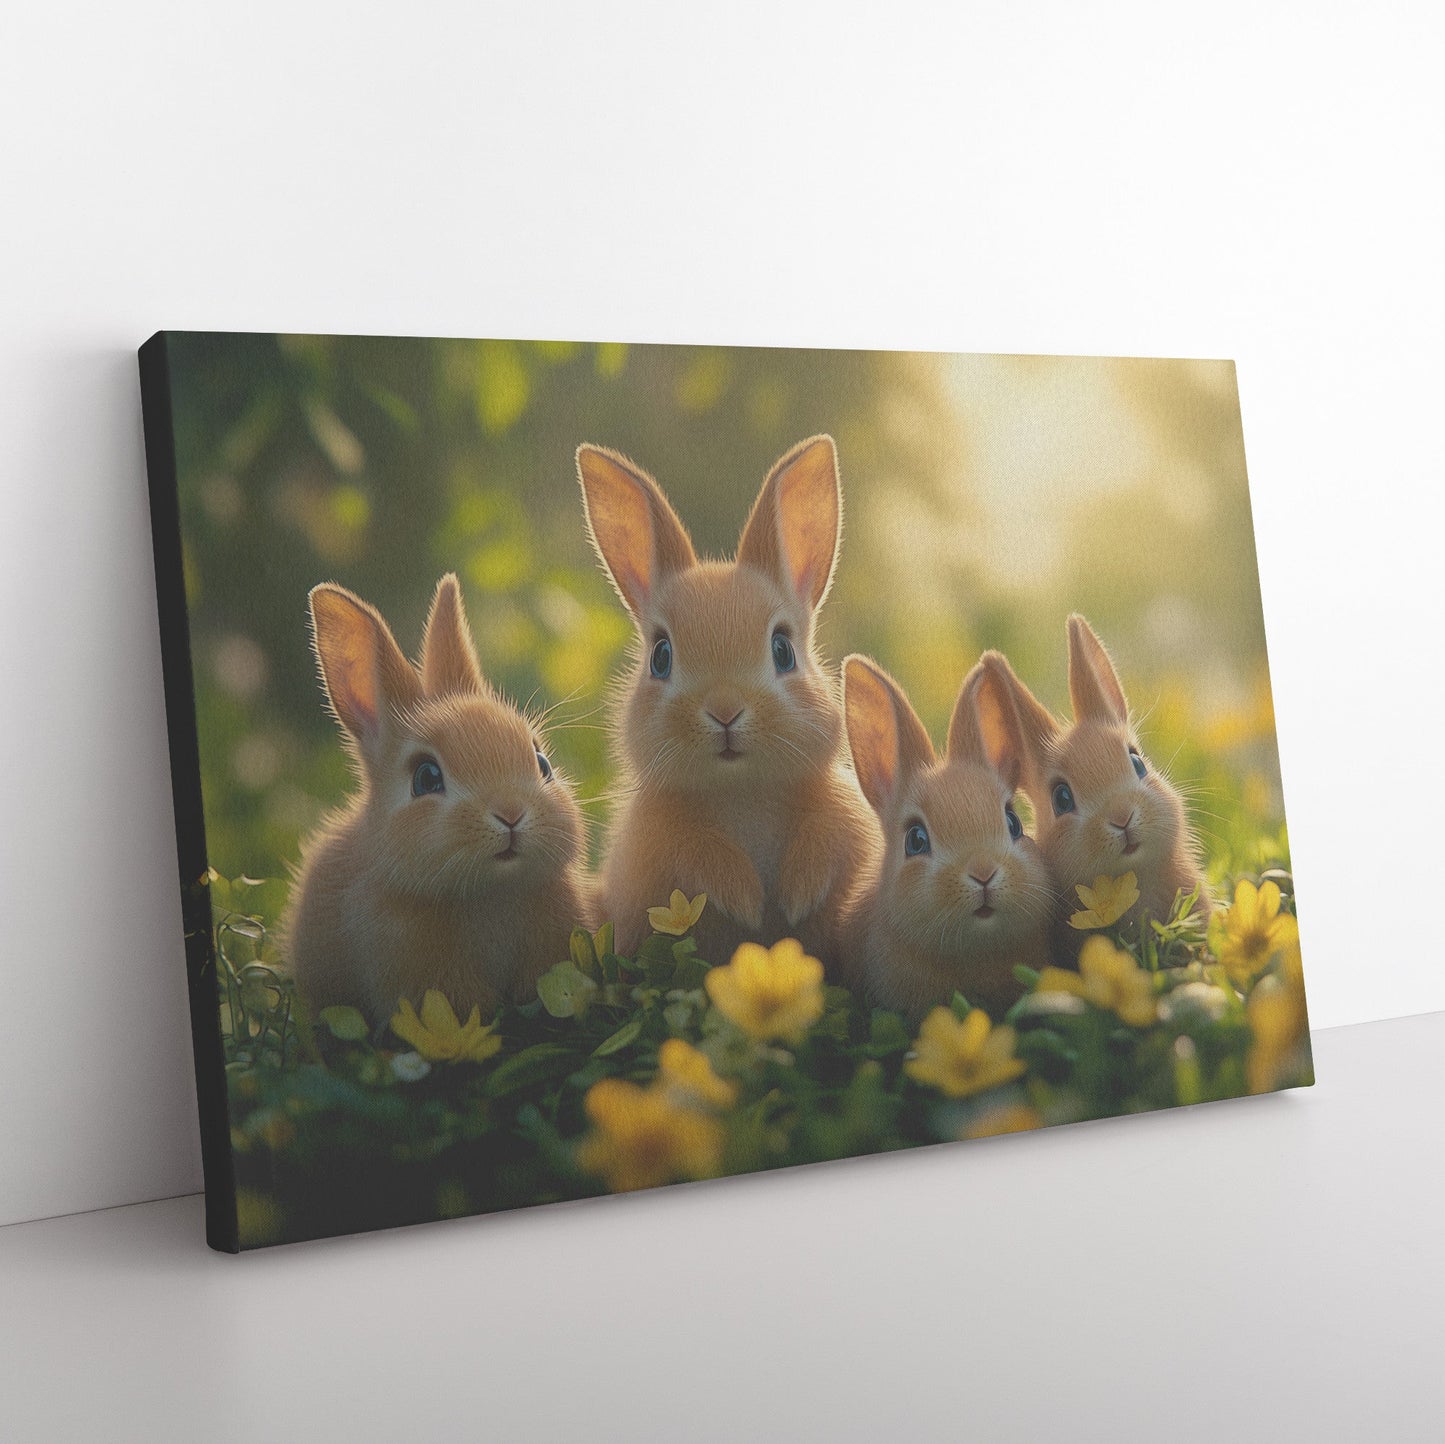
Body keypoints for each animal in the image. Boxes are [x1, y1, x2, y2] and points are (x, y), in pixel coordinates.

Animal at [575, 435, 880, 969]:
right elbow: (701, 854)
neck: (741, 790)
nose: (724, 712)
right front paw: (746, 900)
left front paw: (795, 896)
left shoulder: (842, 817)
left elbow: (824, 836)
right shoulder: (666, 838)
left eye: (783, 650)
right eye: (660, 657)